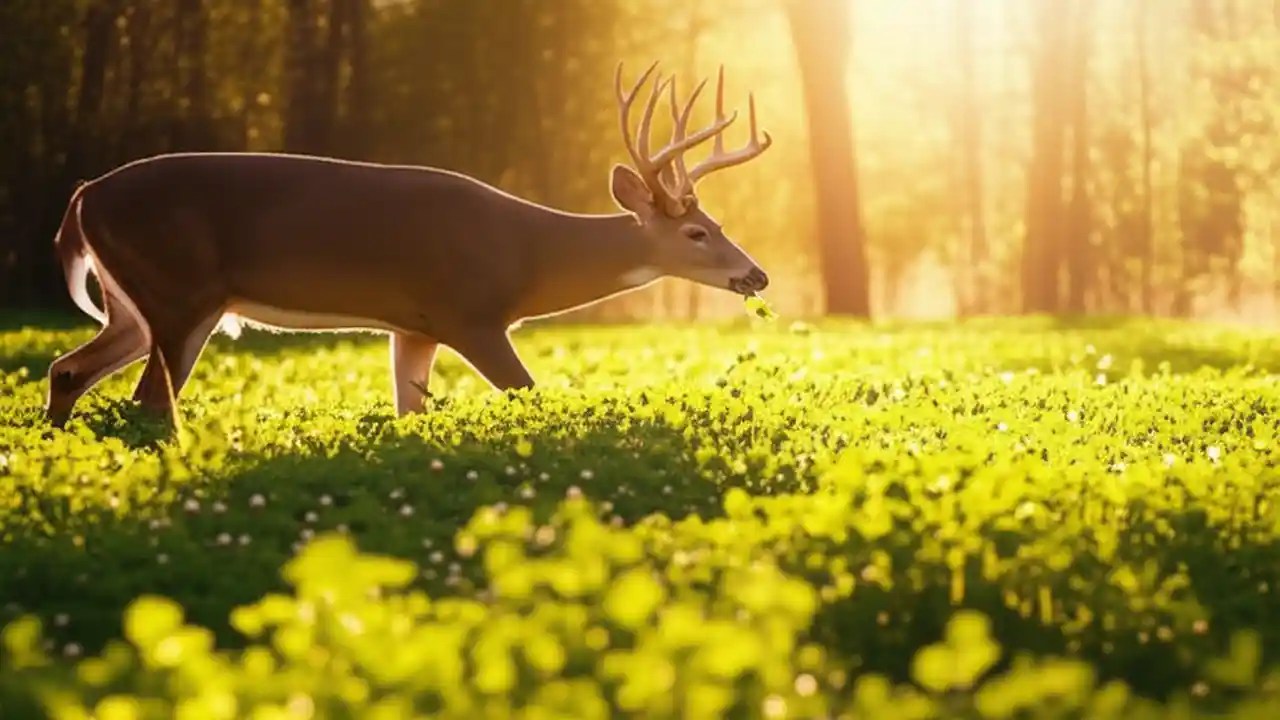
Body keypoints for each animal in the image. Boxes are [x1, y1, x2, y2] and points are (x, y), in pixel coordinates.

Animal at [43, 61, 773, 430]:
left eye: (716, 224)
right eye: (697, 232)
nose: (757, 275)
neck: (528, 255)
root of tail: (83, 196)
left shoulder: (413, 327)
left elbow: (408, 414)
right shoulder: (469, 315)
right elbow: (528, 391)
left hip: (137, 301)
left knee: (69, 369)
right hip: (181, 291)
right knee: (150, 403)